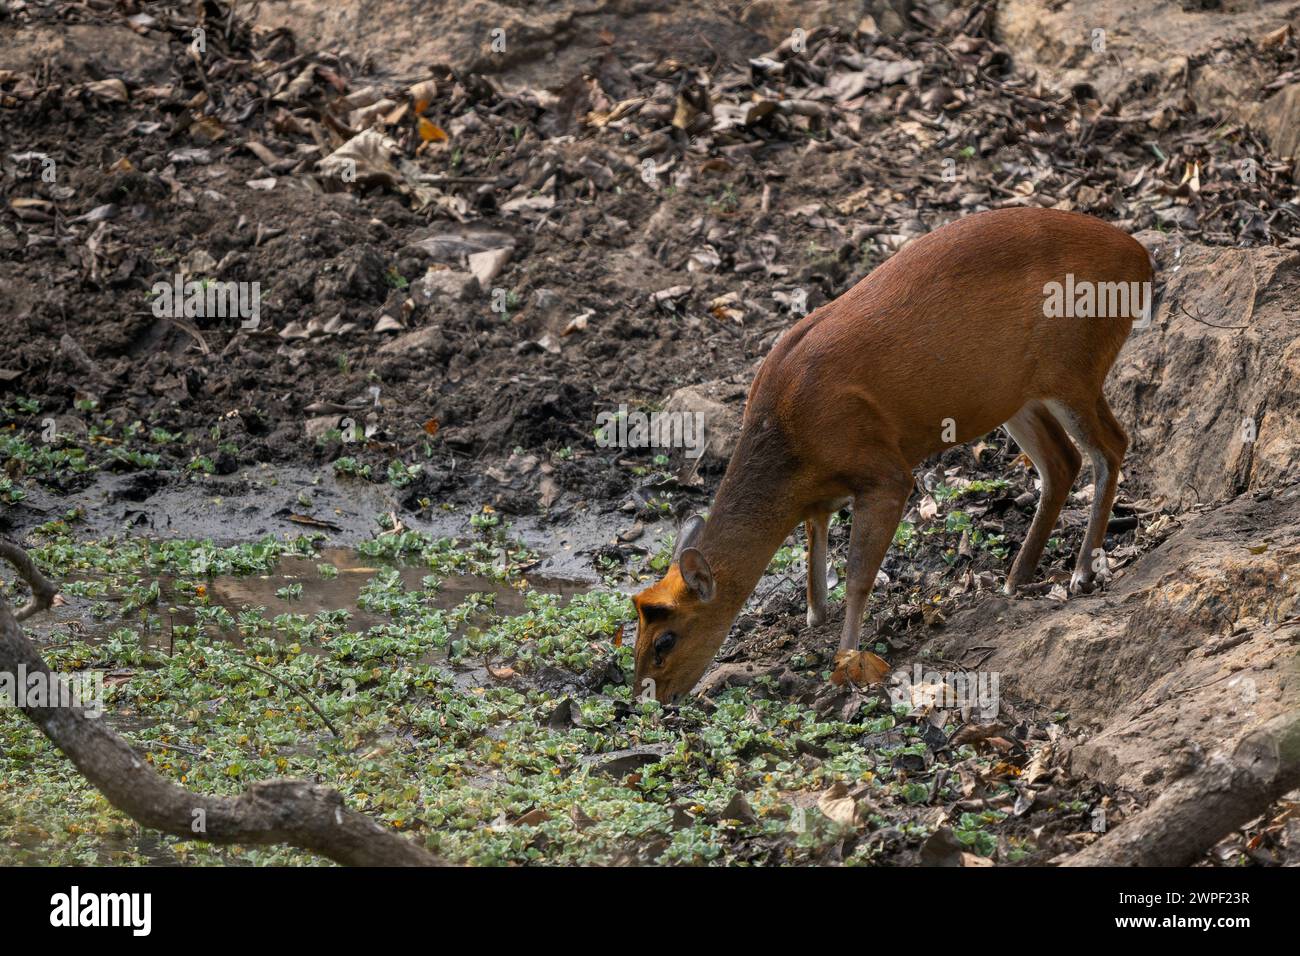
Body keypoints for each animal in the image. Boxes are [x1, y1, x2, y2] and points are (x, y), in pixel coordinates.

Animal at [632, 207, 1154, 704]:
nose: (650, 700)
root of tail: (1142, 261)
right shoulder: (822, 494)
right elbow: (814, 546)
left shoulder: (884, 472)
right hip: (1017, 394)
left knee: (1112, 445)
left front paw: (845, 658)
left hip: (1075, 366)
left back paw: (1082, 572)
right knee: (1063, 461)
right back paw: (1017, 576)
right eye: (634, 635)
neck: (790, 440)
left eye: (665, 640)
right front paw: (815, 616)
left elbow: (859, 574)